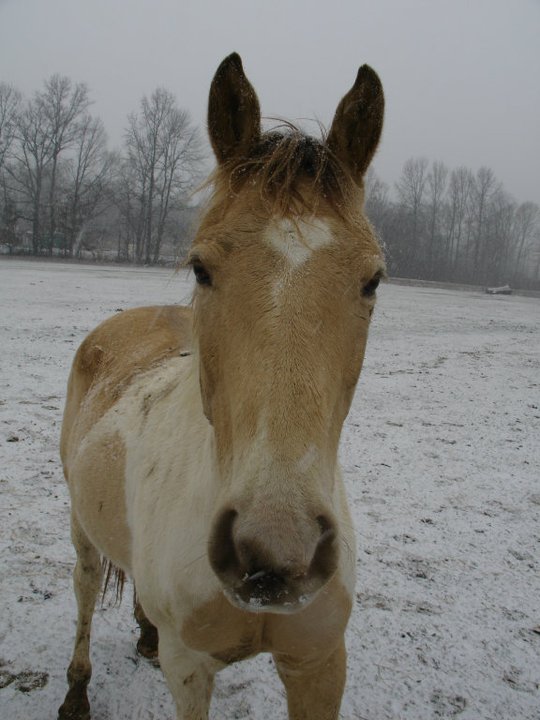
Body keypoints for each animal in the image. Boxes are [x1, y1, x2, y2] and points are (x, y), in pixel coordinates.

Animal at [58, 52, 385, 720]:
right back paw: (76, 690)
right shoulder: (190, 669)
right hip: (81, 525)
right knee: (84, 589)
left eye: (373, 280)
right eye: (202, 268)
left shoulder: (320, 663)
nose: (276, 553)